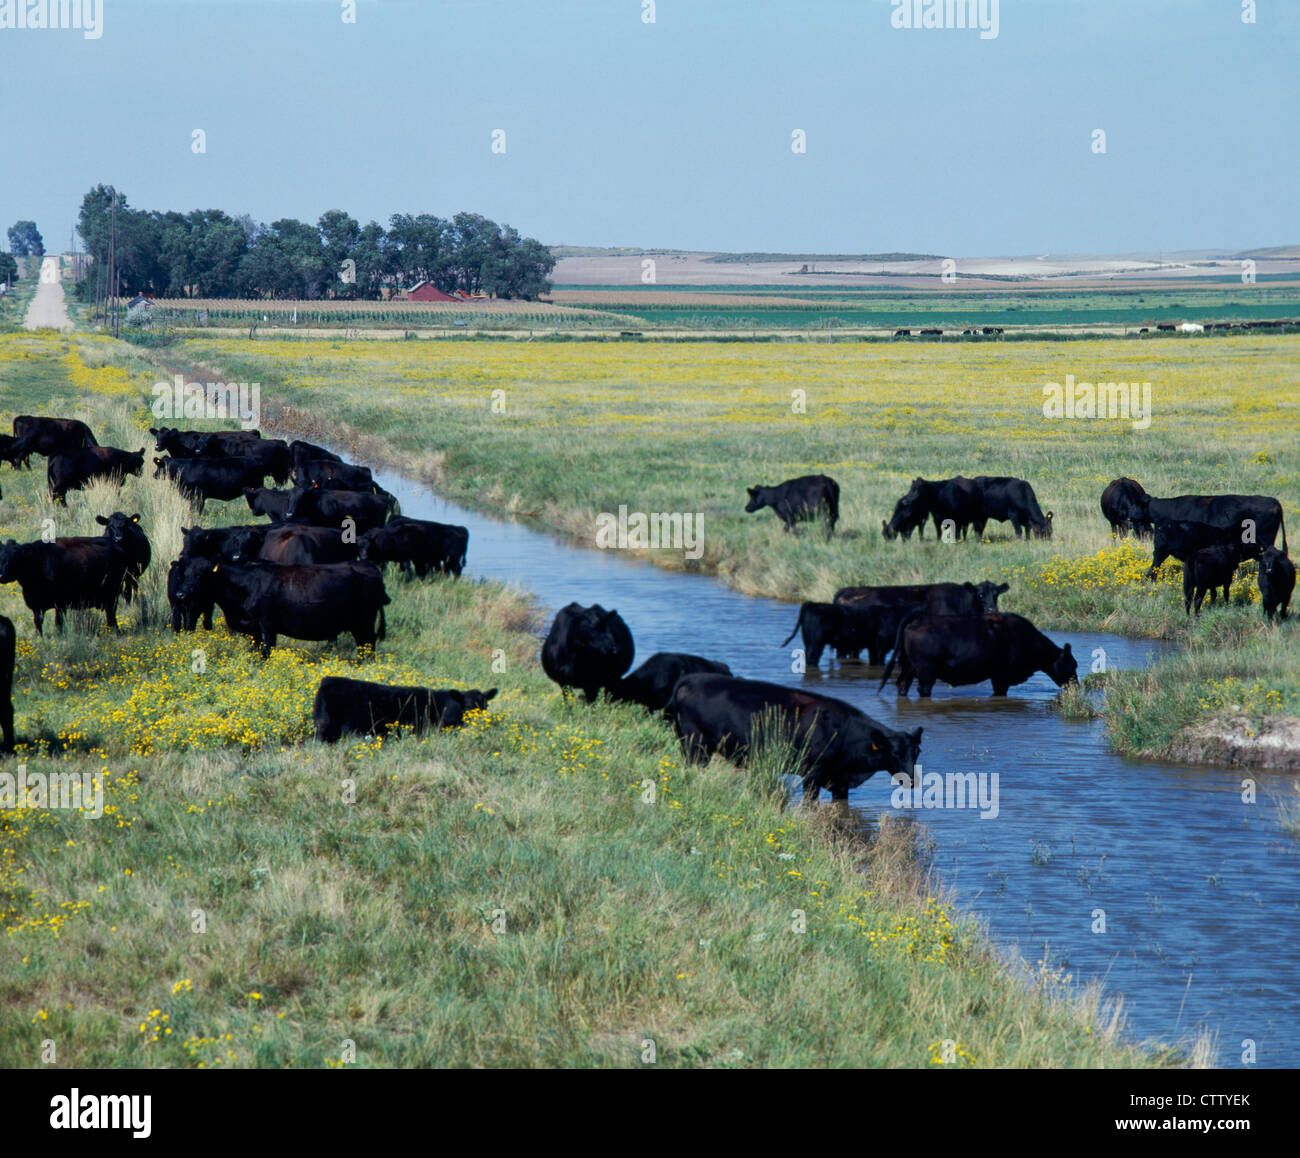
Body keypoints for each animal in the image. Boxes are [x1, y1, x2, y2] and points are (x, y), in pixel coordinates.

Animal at [0, 537, 128, 635]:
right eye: (0, 557)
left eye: (14, 558)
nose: (1, 575)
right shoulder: (36, 605)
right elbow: (38, 623)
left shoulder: (61, 604)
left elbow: (58, 623)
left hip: (113, 594)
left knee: (111, 614)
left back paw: (114, 632)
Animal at [176, 560, 389, 657]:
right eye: (185, 574)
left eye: (200, 575)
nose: (180, 594)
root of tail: (369, 566)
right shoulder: (254, 630)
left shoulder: (267, 625)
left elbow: (267, 650)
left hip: (363, 623)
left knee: (368, 645)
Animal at [667, 673, 922, 804]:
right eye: (894, 753)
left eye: (917, 752)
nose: (911, 780)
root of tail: (692, 679)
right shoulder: (812, 774)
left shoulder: (839, 782)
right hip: (695, 745)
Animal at [881, 612, 1077, 698]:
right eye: (1072, 665)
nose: (1076, 686)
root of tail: (916, 619)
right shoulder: (1001, 678)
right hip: (925, 672)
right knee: (922, 689)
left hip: (908, 667)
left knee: (902, 684)